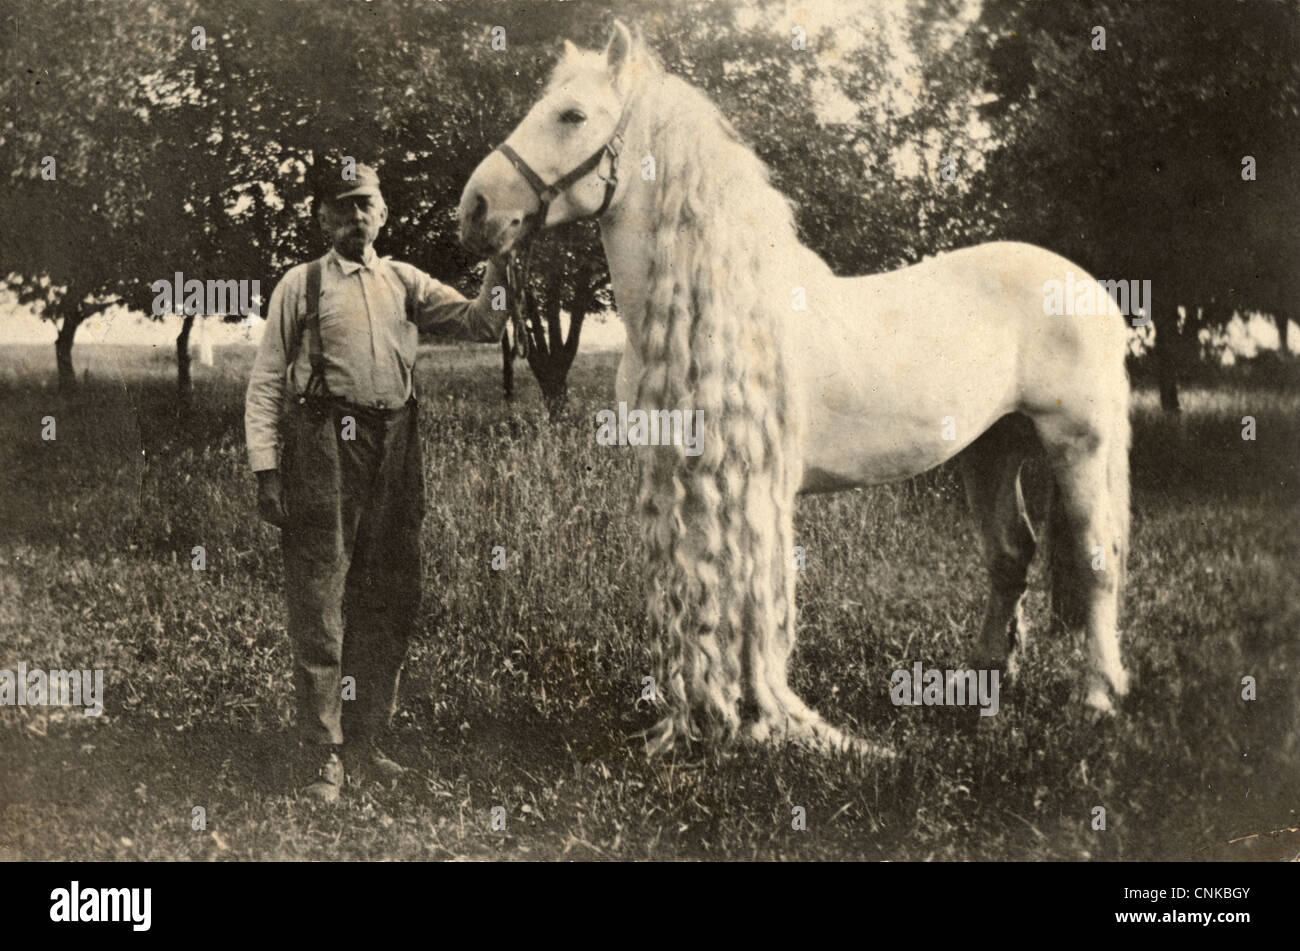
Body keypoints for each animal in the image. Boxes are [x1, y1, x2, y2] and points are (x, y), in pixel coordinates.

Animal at [457, 21, 1134, 755]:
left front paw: (768, 723)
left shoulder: (754, 486)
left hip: (1078, 447)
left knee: (1096, 561)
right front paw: (705, 719)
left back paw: (1098, 697)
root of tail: (1090, 287)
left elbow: (755, 600)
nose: (475, 208)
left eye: (572, 115)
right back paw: (981, 688)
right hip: (991, 450)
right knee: (1010, 557)